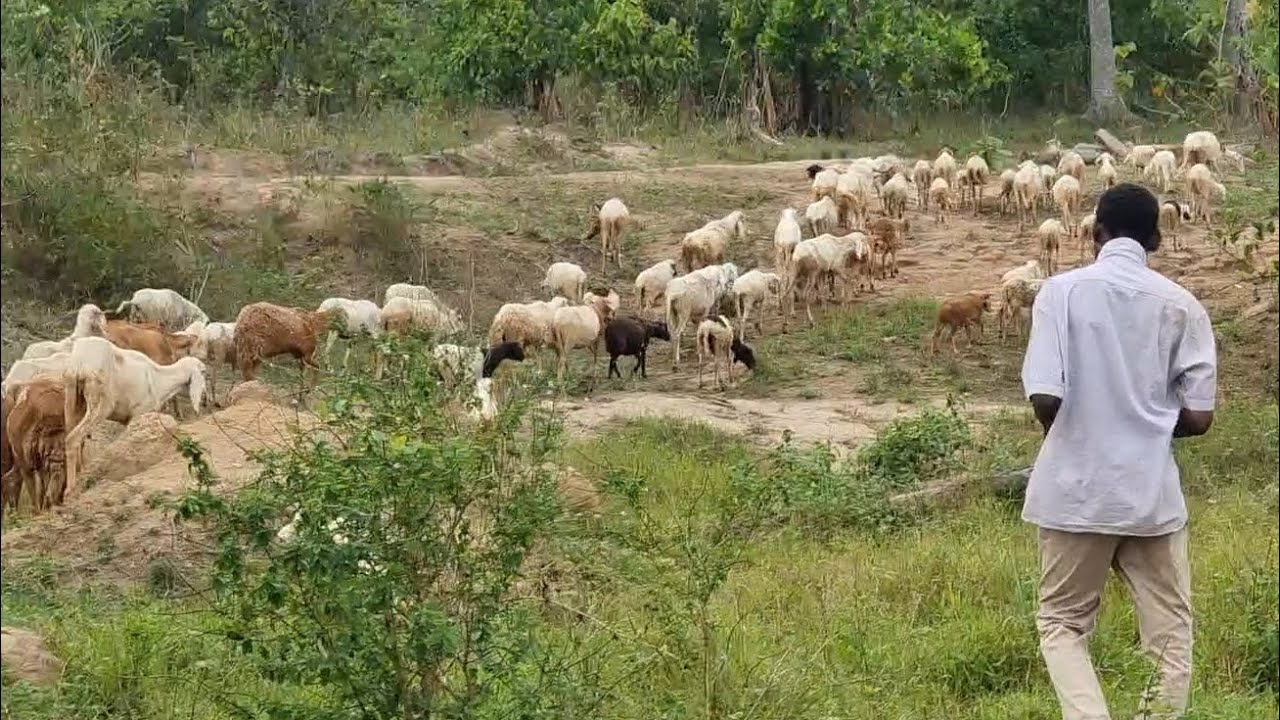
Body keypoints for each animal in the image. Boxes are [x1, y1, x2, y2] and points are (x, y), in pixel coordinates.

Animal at [62, 337, 207, 495]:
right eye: (203, 371)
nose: (205, 394)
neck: (160, 380)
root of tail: (80, 362)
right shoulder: (139, 414)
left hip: (72, 399)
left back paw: (80, 475)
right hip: (101, 401)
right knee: (72, 439)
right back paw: (70, 488)